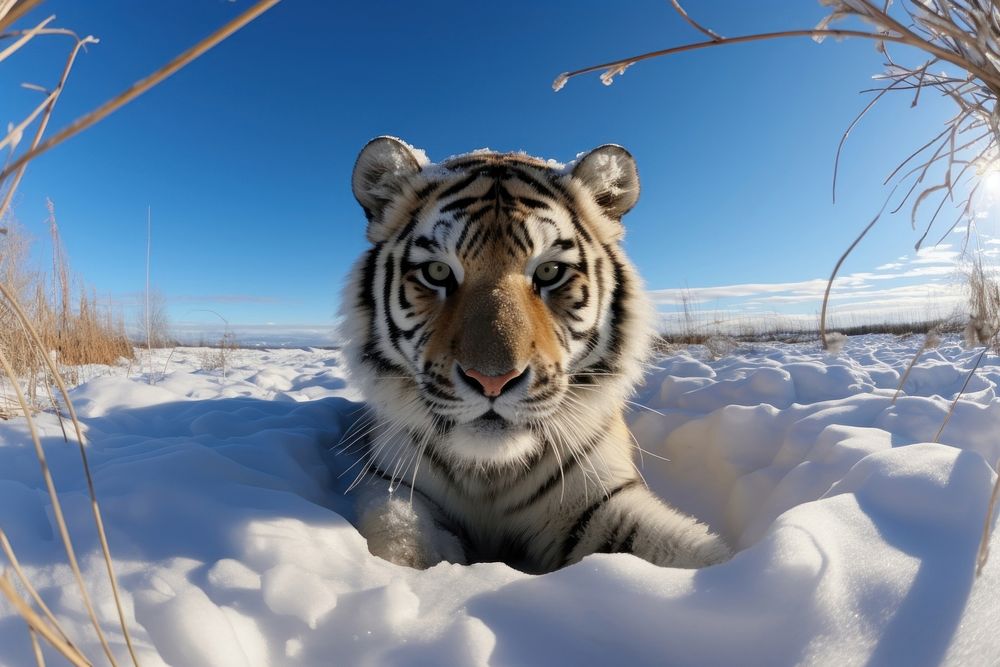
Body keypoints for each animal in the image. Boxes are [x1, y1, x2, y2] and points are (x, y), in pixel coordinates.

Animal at [340, 136, 730, 573]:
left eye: (549, 272)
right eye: (437, 273)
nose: (492, 380)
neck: (490, 473)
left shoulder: (597, 499)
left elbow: (691, 552)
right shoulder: (392, 484)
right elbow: (399, 538)